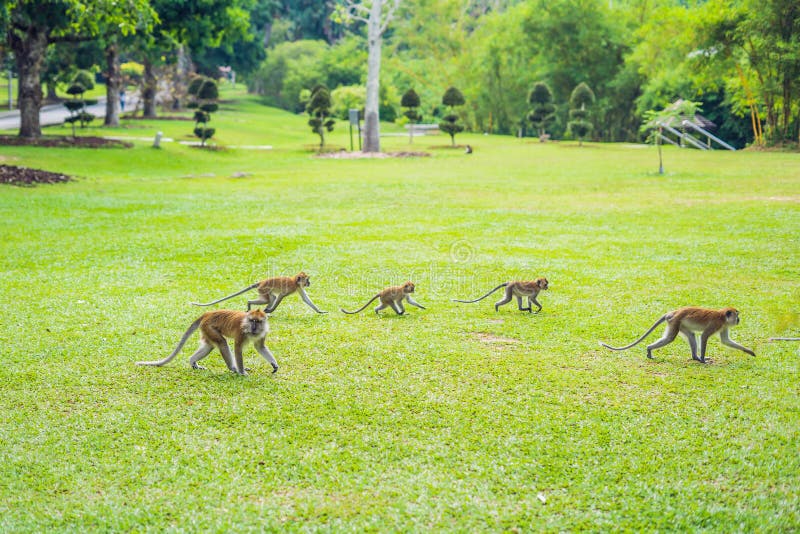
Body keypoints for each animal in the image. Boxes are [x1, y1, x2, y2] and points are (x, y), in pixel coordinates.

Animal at [136, 309, 278, 374]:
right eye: (251, 321)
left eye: (258, 321)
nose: (253, 327)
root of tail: (208, 313)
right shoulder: (241, 332)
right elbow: (237, 348)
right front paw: (242, 372)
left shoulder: (263, 332)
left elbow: (260, 347)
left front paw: (274, 365)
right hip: (209, 327)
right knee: (222, 343)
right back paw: (233, 368)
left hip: (206, 330)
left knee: (210, 346)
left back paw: (193, 362)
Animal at [192, 271, 327, 314]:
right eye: (307, 280)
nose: (309, 283)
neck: (295, 282)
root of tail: (261, 282)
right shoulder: (291, 288)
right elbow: (281, 296)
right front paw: (271, 310)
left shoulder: (298, 287)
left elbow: (305, 299)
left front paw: (319, 311)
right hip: (263, 289)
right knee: (269, 299)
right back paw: (251, 304)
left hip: (263, 290)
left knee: (271, 298)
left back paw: (265, 310)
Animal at [599, 306, 755, 363]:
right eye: (736, 315)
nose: (738, 320)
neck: (722, 316)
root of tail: (673, 312)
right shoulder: (716, 324)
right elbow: (704, 336)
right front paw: (703, 359)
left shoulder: (723, 326)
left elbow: (725, 341)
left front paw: (749, 351)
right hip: (675, 322)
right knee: (670, 338)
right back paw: (649, 348)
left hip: (680, 324)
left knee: (691, 335)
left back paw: (695, 357)